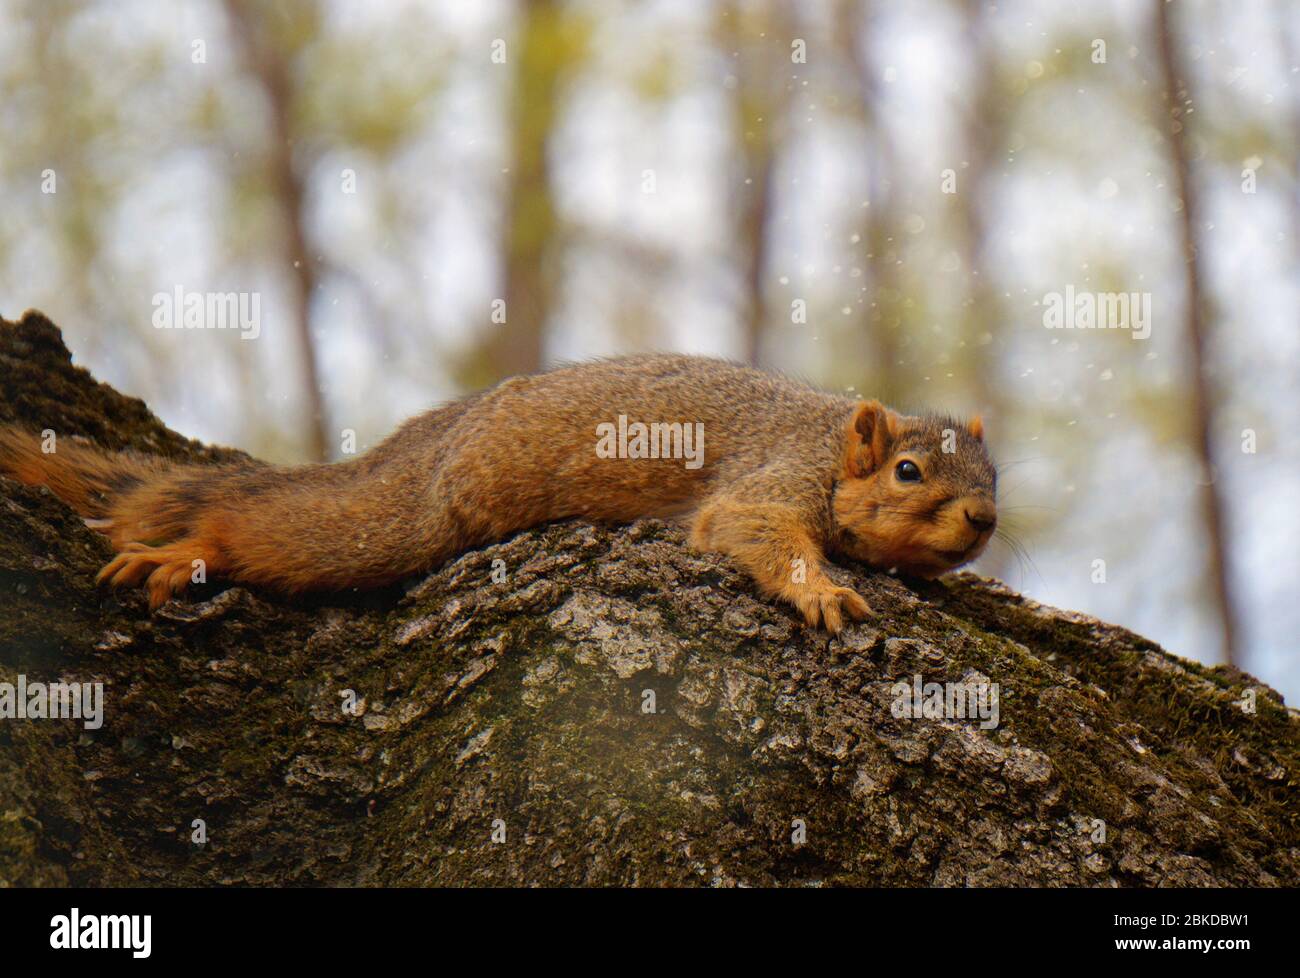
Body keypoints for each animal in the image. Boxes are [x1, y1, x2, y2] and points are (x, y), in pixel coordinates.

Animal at [0, 354, 997, 632]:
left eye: (995, 480)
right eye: (908, 472)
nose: (985, 519)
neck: (830, 449)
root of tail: (432, 437)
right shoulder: (773, 477)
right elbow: (750, 528)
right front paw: (823, 588)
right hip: (410, 519)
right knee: (274, 532)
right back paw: (191, 552)